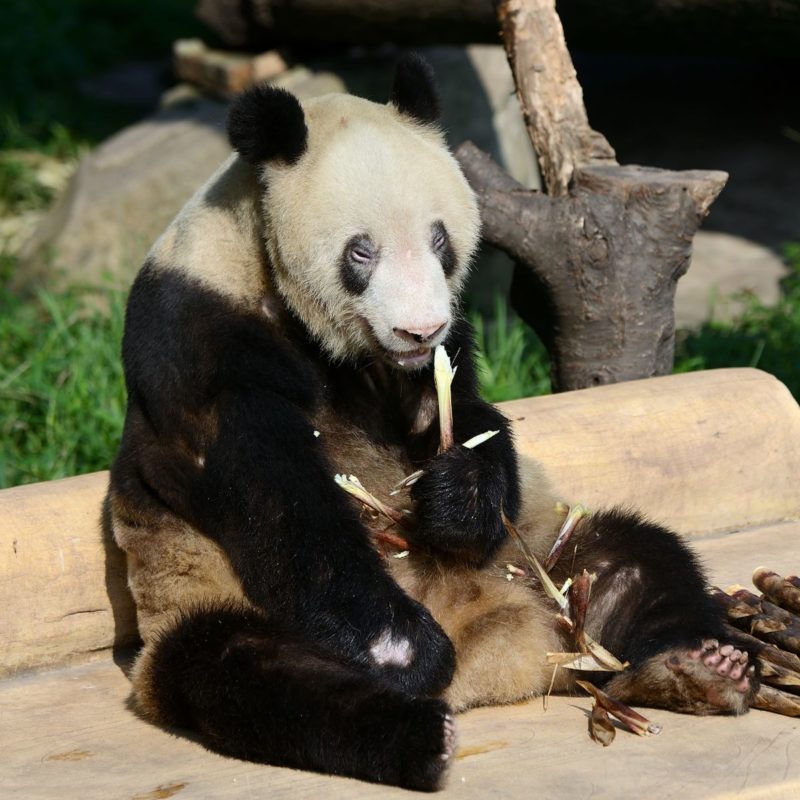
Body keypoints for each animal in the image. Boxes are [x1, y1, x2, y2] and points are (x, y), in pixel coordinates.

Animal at [109, 54, 758, 792]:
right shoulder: (197, 333)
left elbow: (465, 415)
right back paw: (422, 728)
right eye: (360, 252)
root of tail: (499, 664)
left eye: (439, 239)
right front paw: (400, 647)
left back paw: (702, 666)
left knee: (634, 558)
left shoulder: (437, 349)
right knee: (251, 675)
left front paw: (456, 494)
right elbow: (273, 497)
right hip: (204, 603)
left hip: (537, 556)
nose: (418, 328)